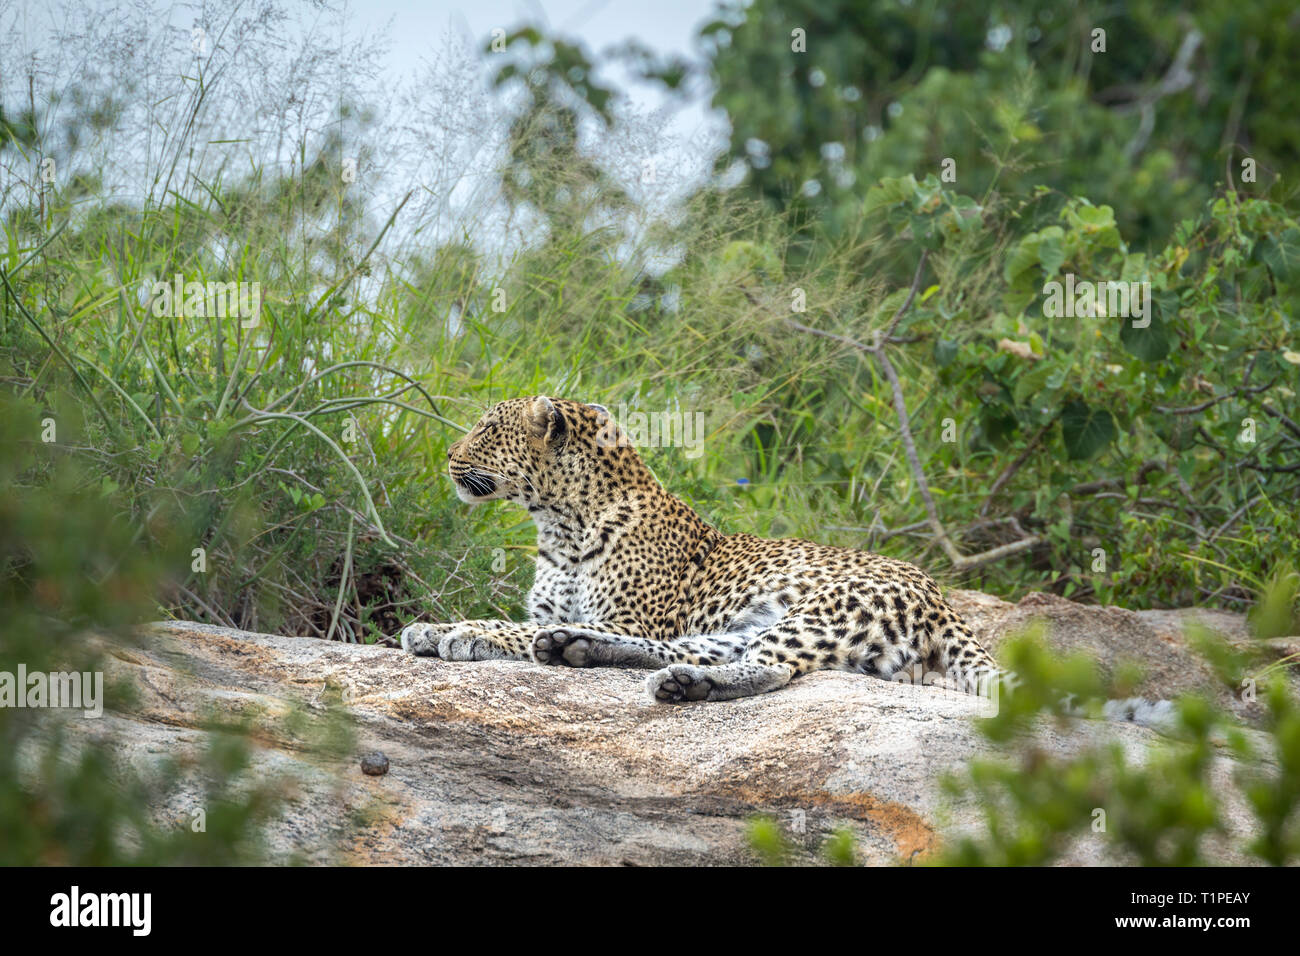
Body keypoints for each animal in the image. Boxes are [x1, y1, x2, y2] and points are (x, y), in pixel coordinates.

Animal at [399, 395, 1012, 706]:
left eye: (484, 430)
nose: (447, 455)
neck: (559, 524)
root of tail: (943, 600)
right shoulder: (586, 613)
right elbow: (521, 622)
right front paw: (431, 628)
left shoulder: (629, 617)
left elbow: (511, 627)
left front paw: (465, 632)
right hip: (753, 623)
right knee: (692, 650)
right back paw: (575, 647)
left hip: (820, 612)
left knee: (771, 669)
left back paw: (677, 683)